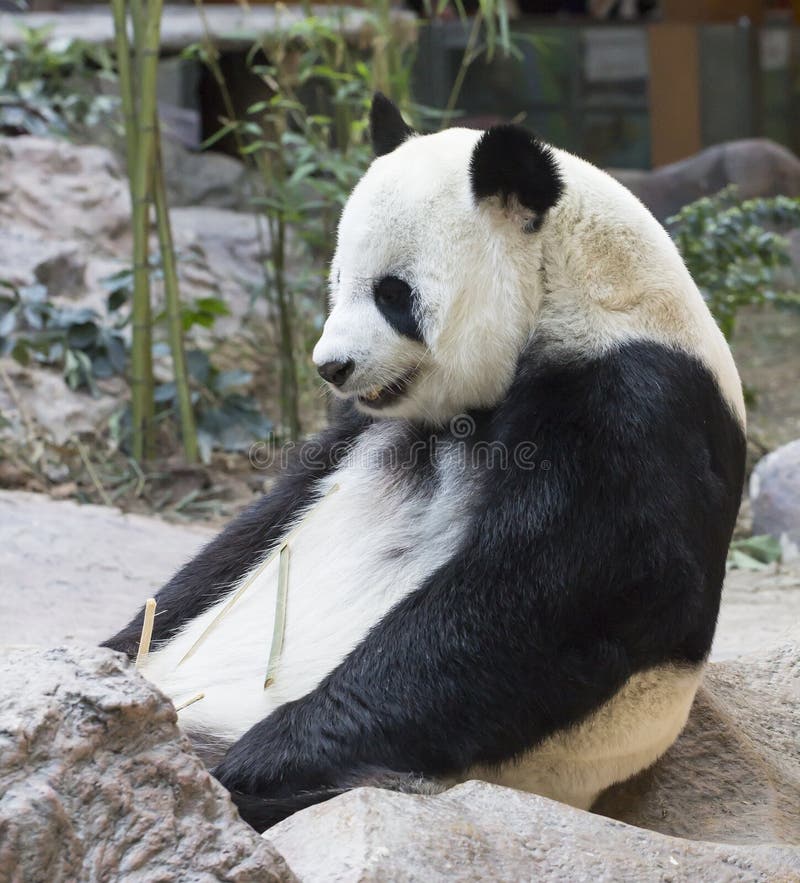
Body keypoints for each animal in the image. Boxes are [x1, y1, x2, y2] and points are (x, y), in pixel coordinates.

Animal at [105, 94, 746, 832]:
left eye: (392, 293)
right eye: (338, 282)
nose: (332, 366)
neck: (576, 286)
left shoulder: (636, 400)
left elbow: (563, 593)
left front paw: (262, 757)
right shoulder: (360, 429)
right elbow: (252, 533)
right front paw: (121, 651)